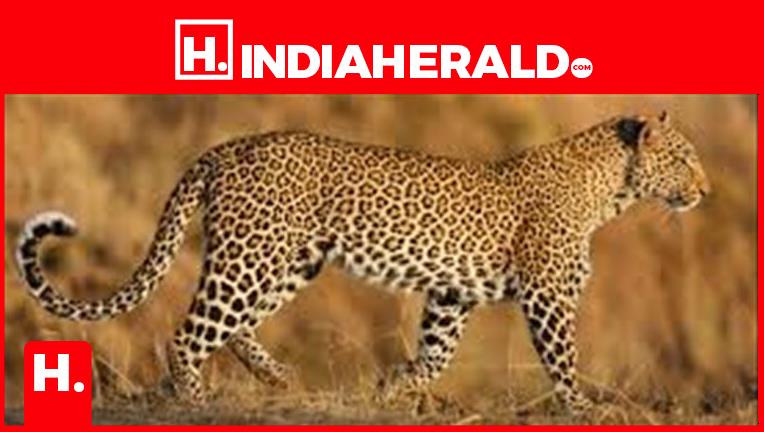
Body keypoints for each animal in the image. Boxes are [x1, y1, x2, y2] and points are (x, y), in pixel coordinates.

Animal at [15, 111, 710, 415]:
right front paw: (584, 409)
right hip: (254, 254)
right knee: (189, 333)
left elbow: (436, 355)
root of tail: (225, 147)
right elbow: (562, 360)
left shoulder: (451, 294)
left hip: (289, 260)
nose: (704, 190)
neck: (612, 192)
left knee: (233, 327)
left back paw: (277, 377)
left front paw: (392, 386)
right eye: (683, 160)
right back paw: (194, 399)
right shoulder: (546, 296)